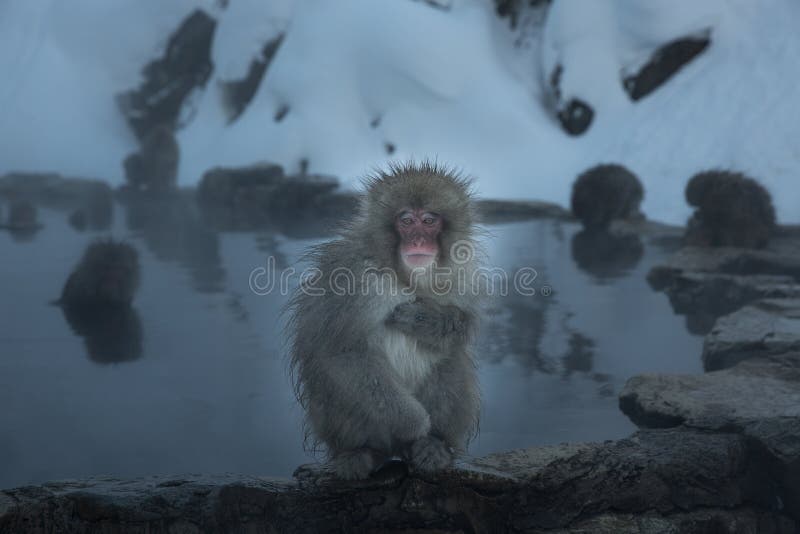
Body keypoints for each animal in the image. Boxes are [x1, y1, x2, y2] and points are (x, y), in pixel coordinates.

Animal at [287, 162, 481, 480]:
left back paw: (435, 445)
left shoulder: (462, 270)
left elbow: (462, 323)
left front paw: (425, 319)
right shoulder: (352, 278)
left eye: (429, 220)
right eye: (406, 221)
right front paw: (416, 423)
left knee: (451, 359)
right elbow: (343, 351)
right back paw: (363, 454)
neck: (403, 274)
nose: (418, 240)